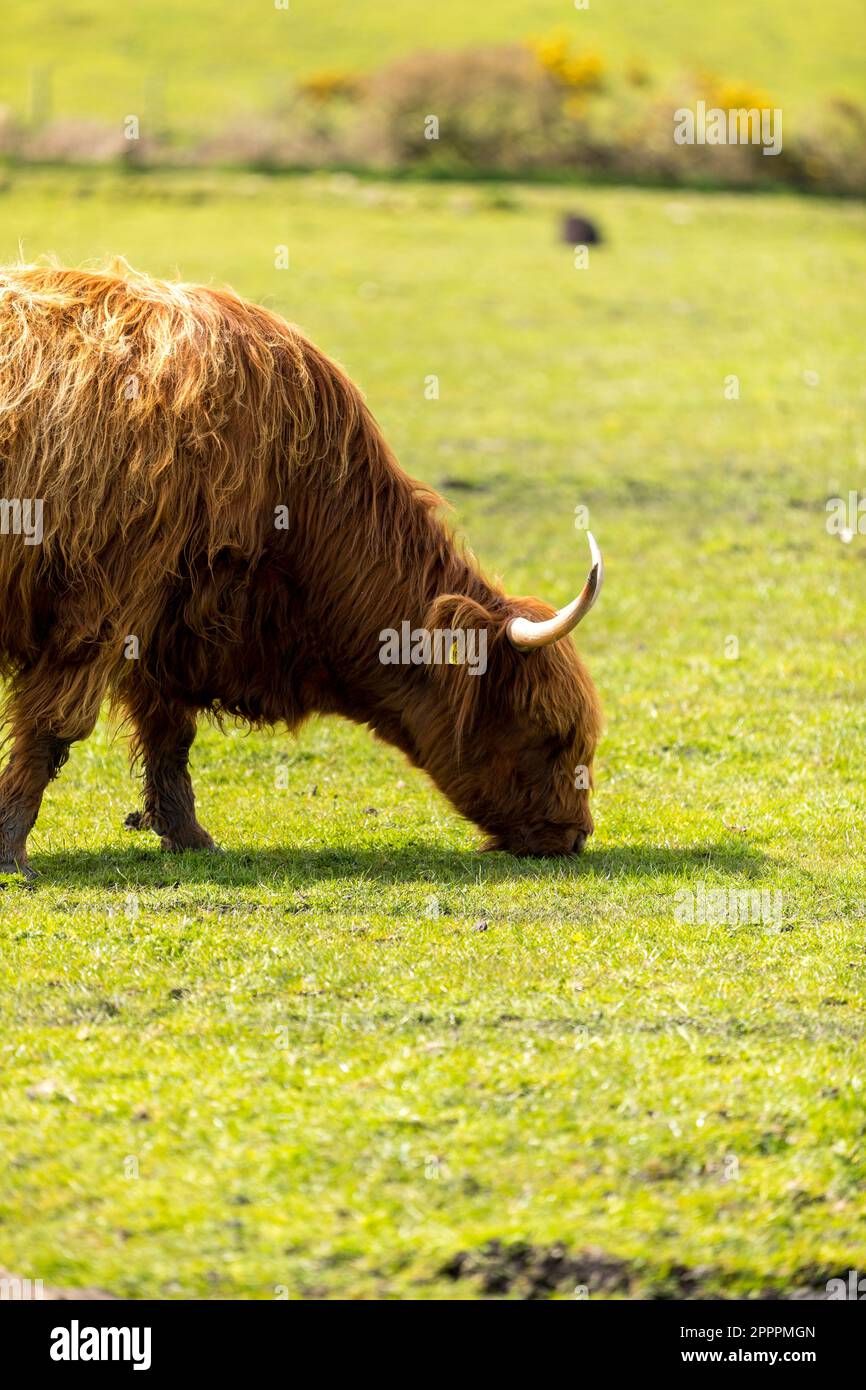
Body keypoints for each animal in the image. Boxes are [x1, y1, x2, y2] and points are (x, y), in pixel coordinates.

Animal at [0, 261, 603, 874]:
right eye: (549, 734)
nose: (576, 834)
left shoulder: (166, 618)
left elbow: (169, 730)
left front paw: (189, 835)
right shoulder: (105, 601)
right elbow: (55, 726)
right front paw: (11, 849)